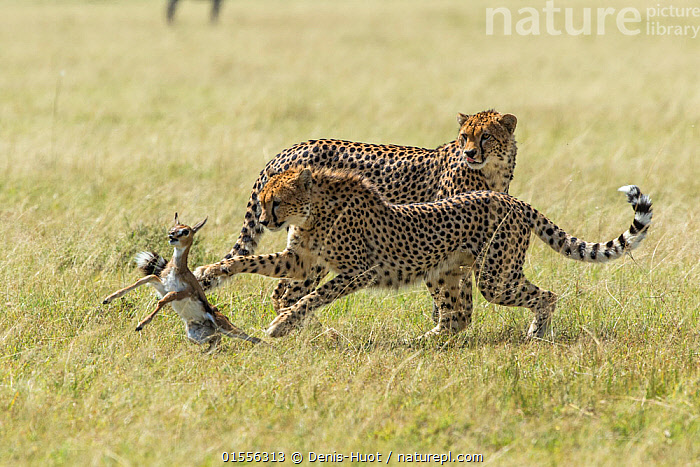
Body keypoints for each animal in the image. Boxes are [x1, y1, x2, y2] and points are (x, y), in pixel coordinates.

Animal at [195, 167, 652, 341]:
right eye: (263, 200)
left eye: (278, 200)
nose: (263, 217)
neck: (314, 209)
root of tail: (514, 200)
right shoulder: (301, 260)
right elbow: (247, 261)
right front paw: (207, 273)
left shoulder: (359, 270)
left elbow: (313, 296)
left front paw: (282, 324)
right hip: (443, 272)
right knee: (456, 316)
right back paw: (425, 341)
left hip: (493, 276)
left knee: (545, 295)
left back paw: (537, 333)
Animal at [197, 110, 519, 325]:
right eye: (465, 137)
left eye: (486, 136)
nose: (470, 153)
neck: (492, 172)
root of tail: (290, 148)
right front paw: (449, 323)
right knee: (287, 294)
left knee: (283, 290)